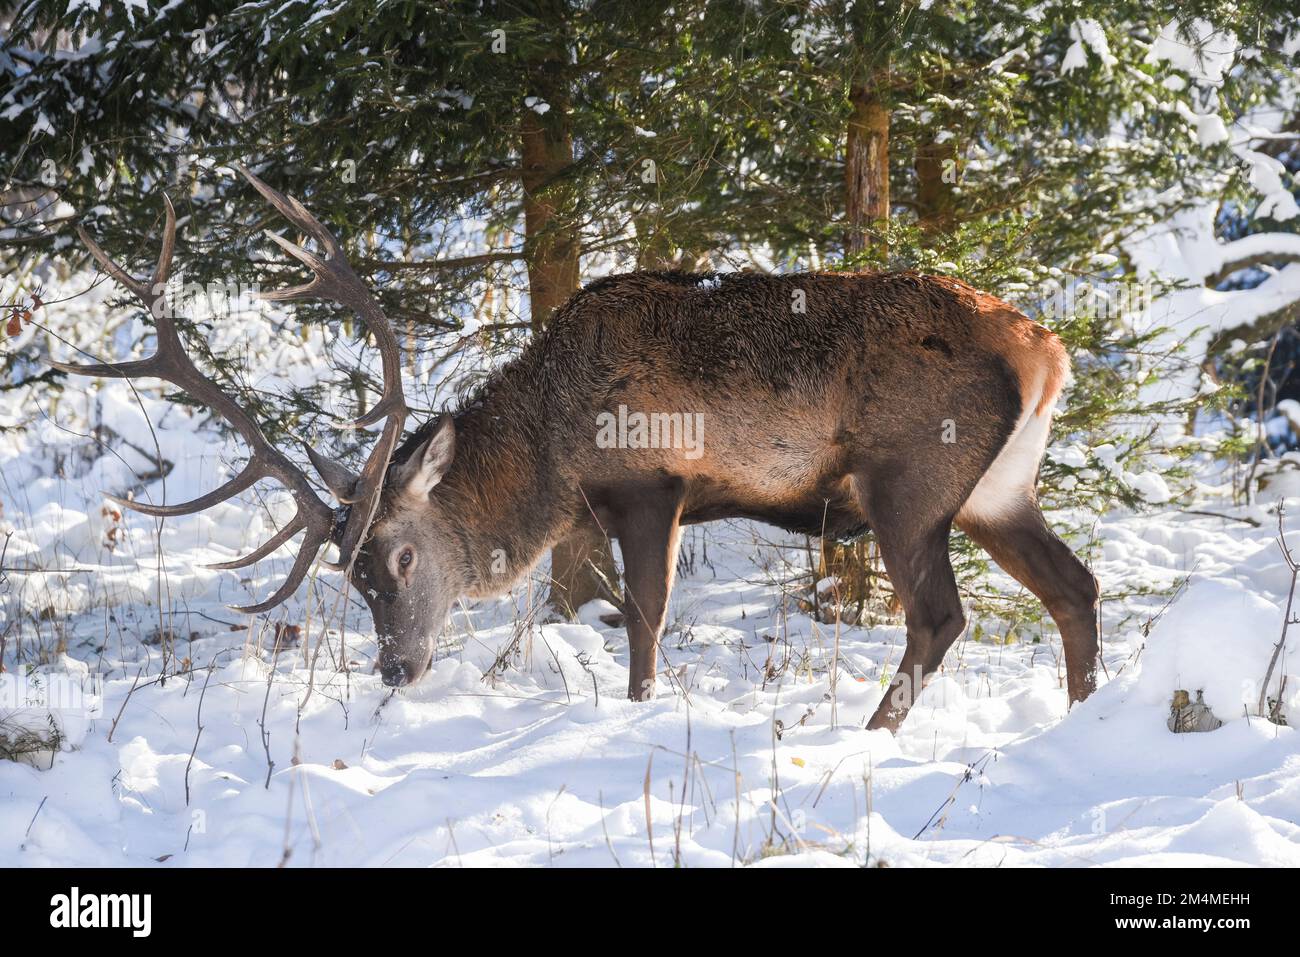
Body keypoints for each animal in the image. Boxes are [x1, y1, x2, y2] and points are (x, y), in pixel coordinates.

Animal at [53, 168, 1099, 733]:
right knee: (1073, 584)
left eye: (399, 554)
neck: (550, 454)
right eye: (351, 577)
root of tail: (1045, 349)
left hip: (910, 479)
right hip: (999, 487)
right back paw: (1082, 711)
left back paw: (872, 732)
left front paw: (639, 708)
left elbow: (643, 617)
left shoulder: (649, 486)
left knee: (942, 614)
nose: (396, 668)